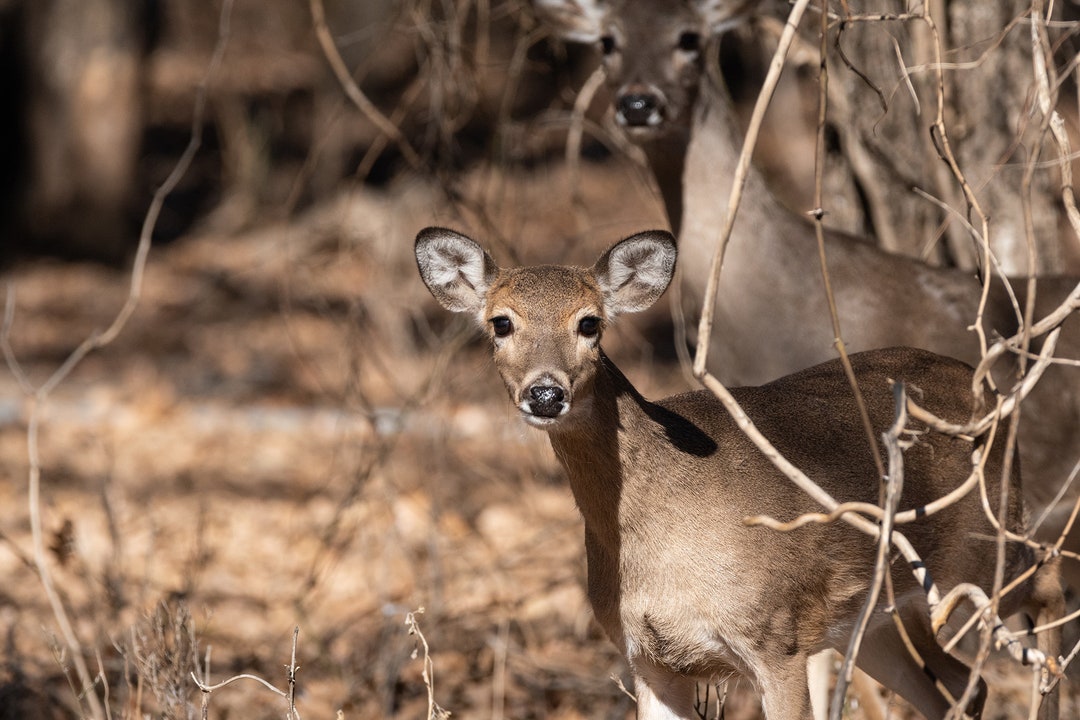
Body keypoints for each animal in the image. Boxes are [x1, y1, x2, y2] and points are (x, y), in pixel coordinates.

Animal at [416, 225, 1062, 720]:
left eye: (590, 323)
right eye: (501, 322)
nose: (546, 394)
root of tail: (987, 389)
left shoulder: (777, 637)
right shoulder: (648, 658)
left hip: (982, 546)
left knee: (1046, 582)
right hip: (879, 618)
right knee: (959, 686)